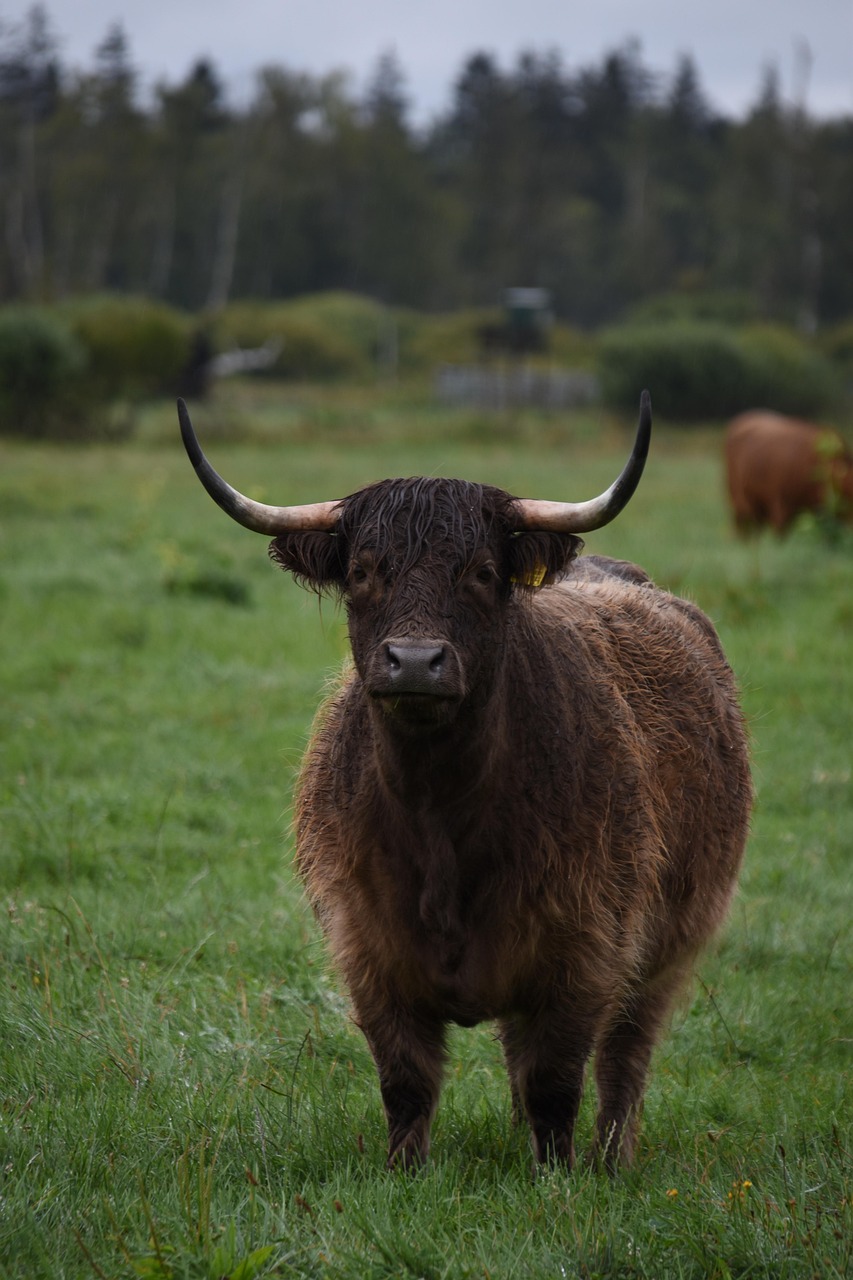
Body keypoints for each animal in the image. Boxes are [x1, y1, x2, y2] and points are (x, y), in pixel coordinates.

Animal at [178, 392, 752, 1173]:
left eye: (481, 572)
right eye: (364, 570)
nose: (416, 661)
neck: (440, 814)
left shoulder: (588, 946)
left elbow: (555, 1082)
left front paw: (555, 1177)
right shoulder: (369, 948)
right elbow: (406, 1081)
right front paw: (405, 1172)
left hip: (670, 943)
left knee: (625, 1058)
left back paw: (611, 1160)